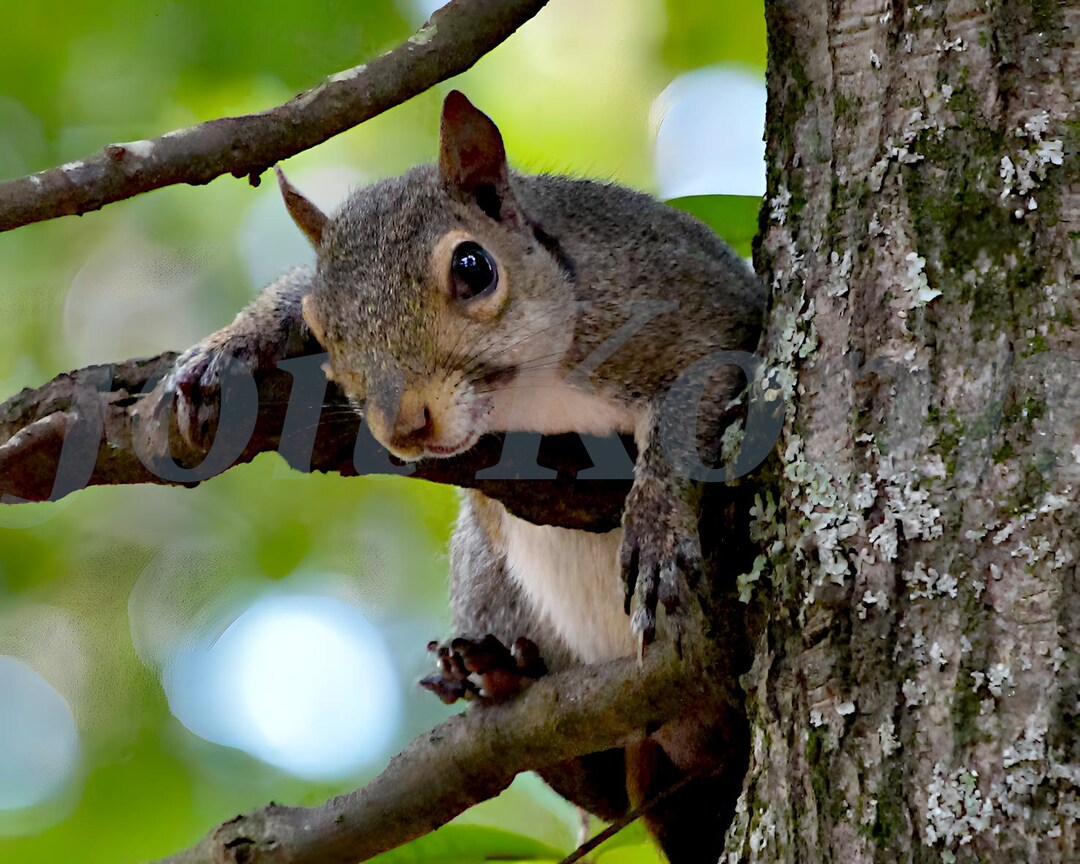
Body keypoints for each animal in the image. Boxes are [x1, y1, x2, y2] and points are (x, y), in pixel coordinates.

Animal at [160, 91, 764, 863]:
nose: (404, 426)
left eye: (474, 268)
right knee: (594, 782)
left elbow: (695, 398)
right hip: (487, 574)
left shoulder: (685, 307)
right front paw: (224, 348)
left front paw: (656, 526)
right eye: (321, 329)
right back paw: (503, 674)